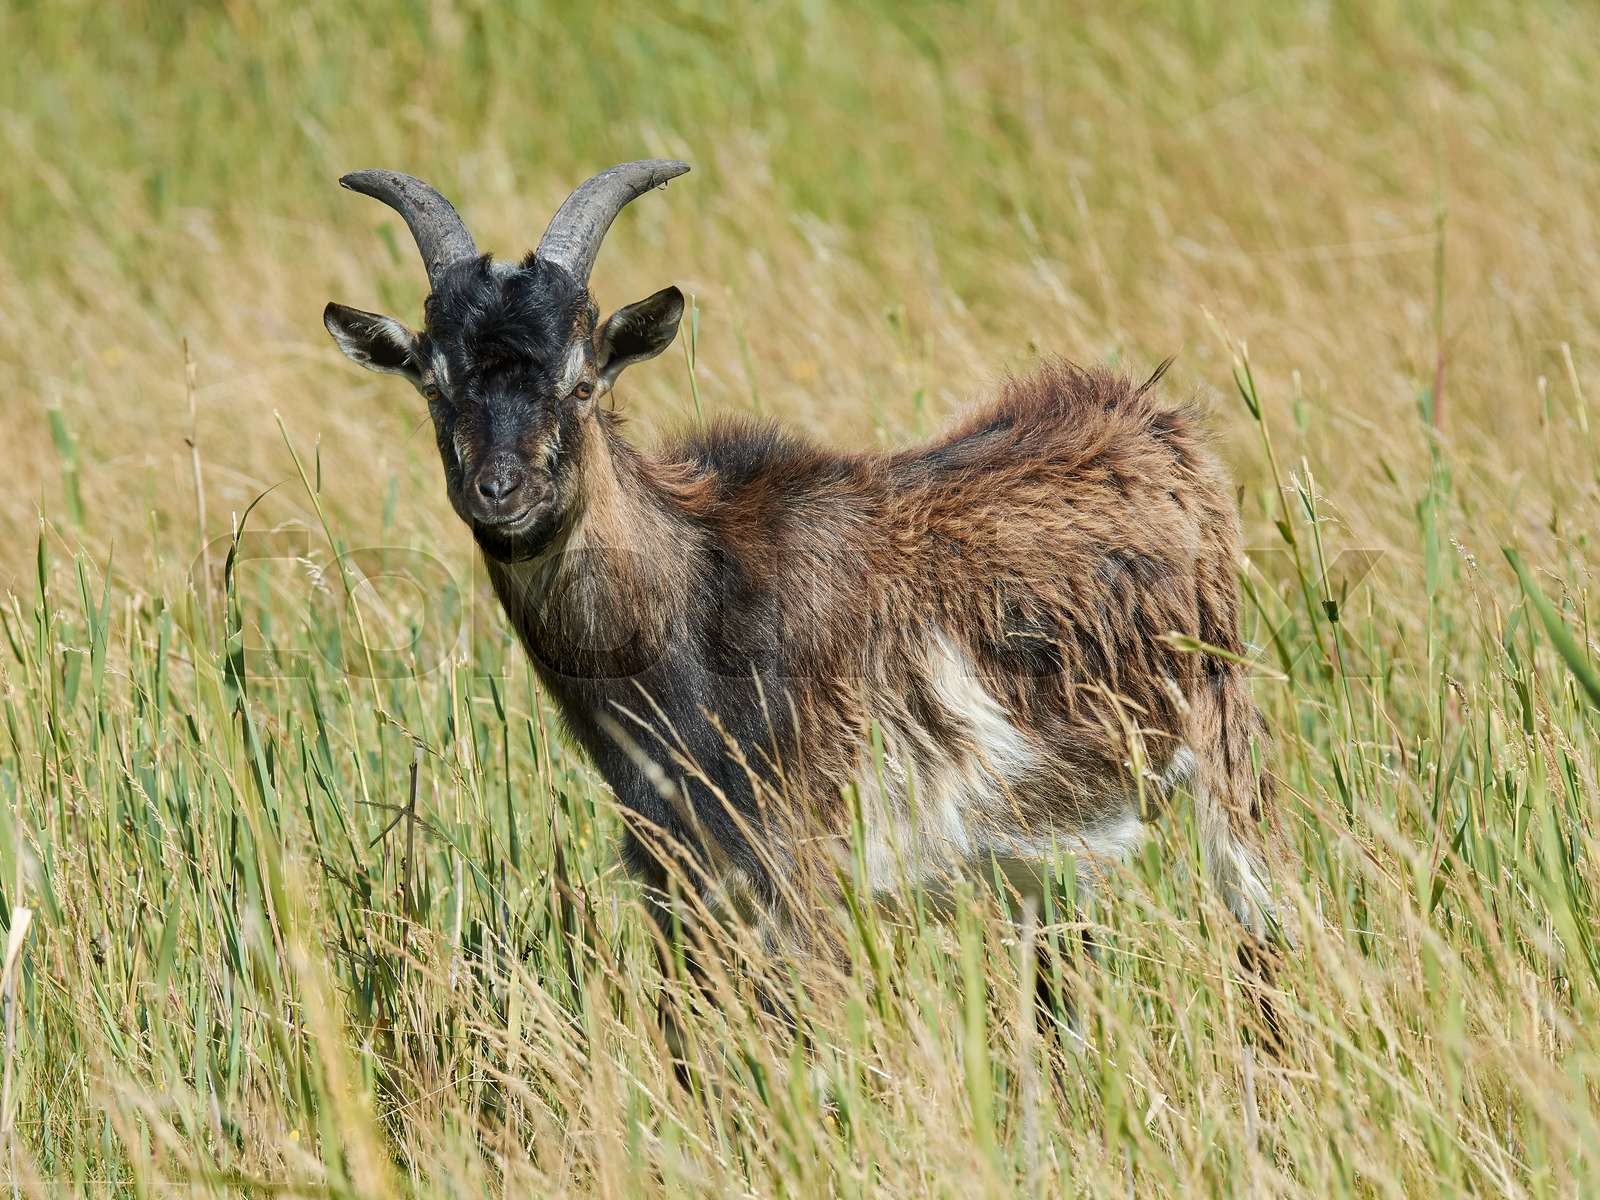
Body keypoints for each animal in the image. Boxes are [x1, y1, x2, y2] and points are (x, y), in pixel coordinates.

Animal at [324, 159, 1284, 1004]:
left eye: (584, 381)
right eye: (435, 387)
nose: (501, 495)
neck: (698, 609)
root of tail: (1156, 420)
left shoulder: (807, 875)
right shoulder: (679, 882)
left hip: (1227, 752)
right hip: (1044, 849)